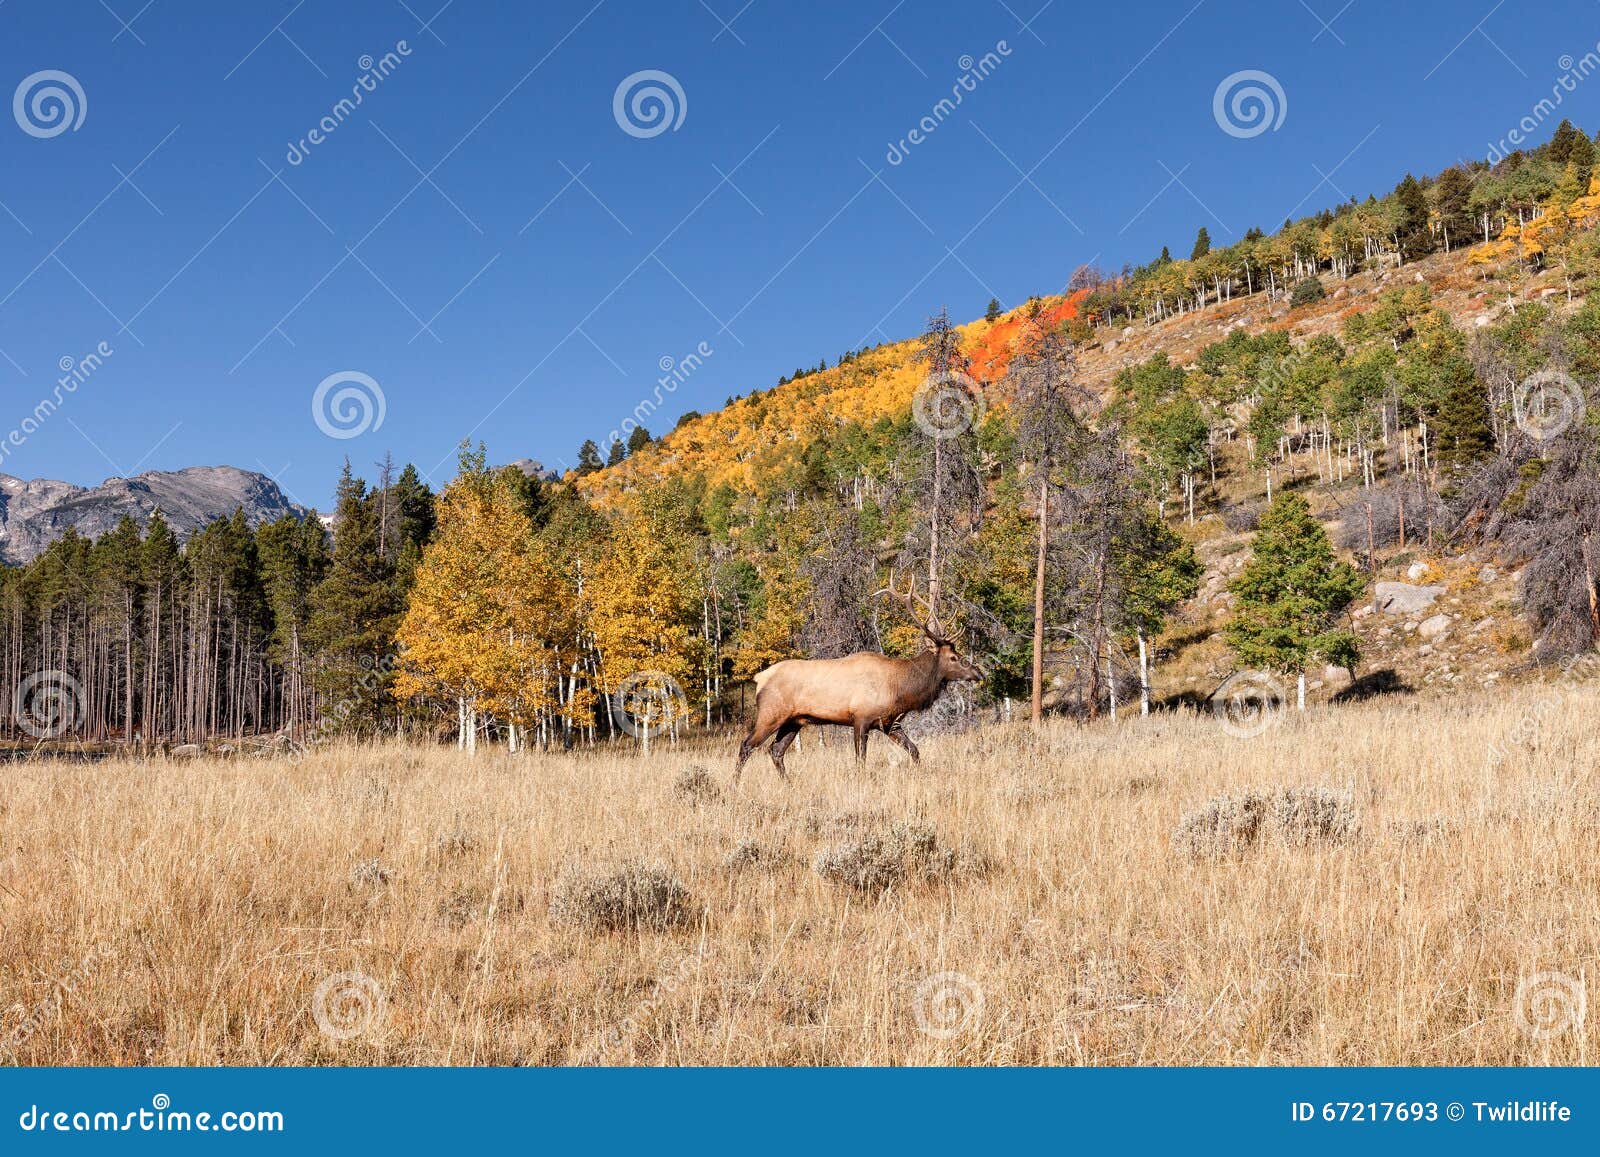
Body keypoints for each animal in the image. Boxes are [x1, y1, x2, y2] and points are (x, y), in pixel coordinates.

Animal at [733, 577, 982, 782]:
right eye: (953, 657)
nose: (979, 673)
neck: (899, 689)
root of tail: (760, 678)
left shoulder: (890, 723)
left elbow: (915, 751)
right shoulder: (861, 718)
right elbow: (860, 760)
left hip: (794, 721)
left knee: (775, 751)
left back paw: (789, 784)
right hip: (771, 714)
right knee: (746, 746)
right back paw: (735, 785)